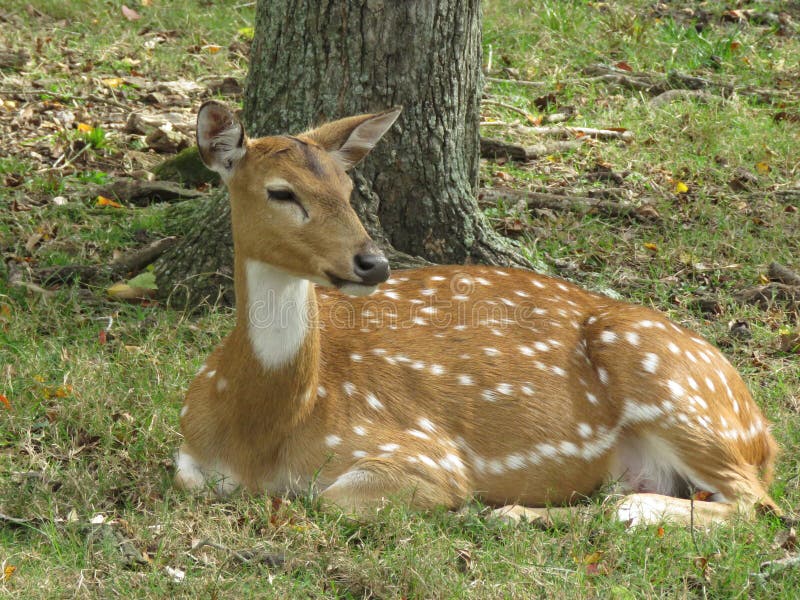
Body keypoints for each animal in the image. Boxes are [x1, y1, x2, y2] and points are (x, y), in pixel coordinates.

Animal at [175, 100, 780, 527]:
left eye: (349, 189)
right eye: (281, 192)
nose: (373, 263)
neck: (264, 432)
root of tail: (764, 433)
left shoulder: (423, 451)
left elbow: (330, 499)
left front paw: (460, 504)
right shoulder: (187, 450)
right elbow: (193, 479)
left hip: (672, 383)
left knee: (758, 505)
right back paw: (524, 514)